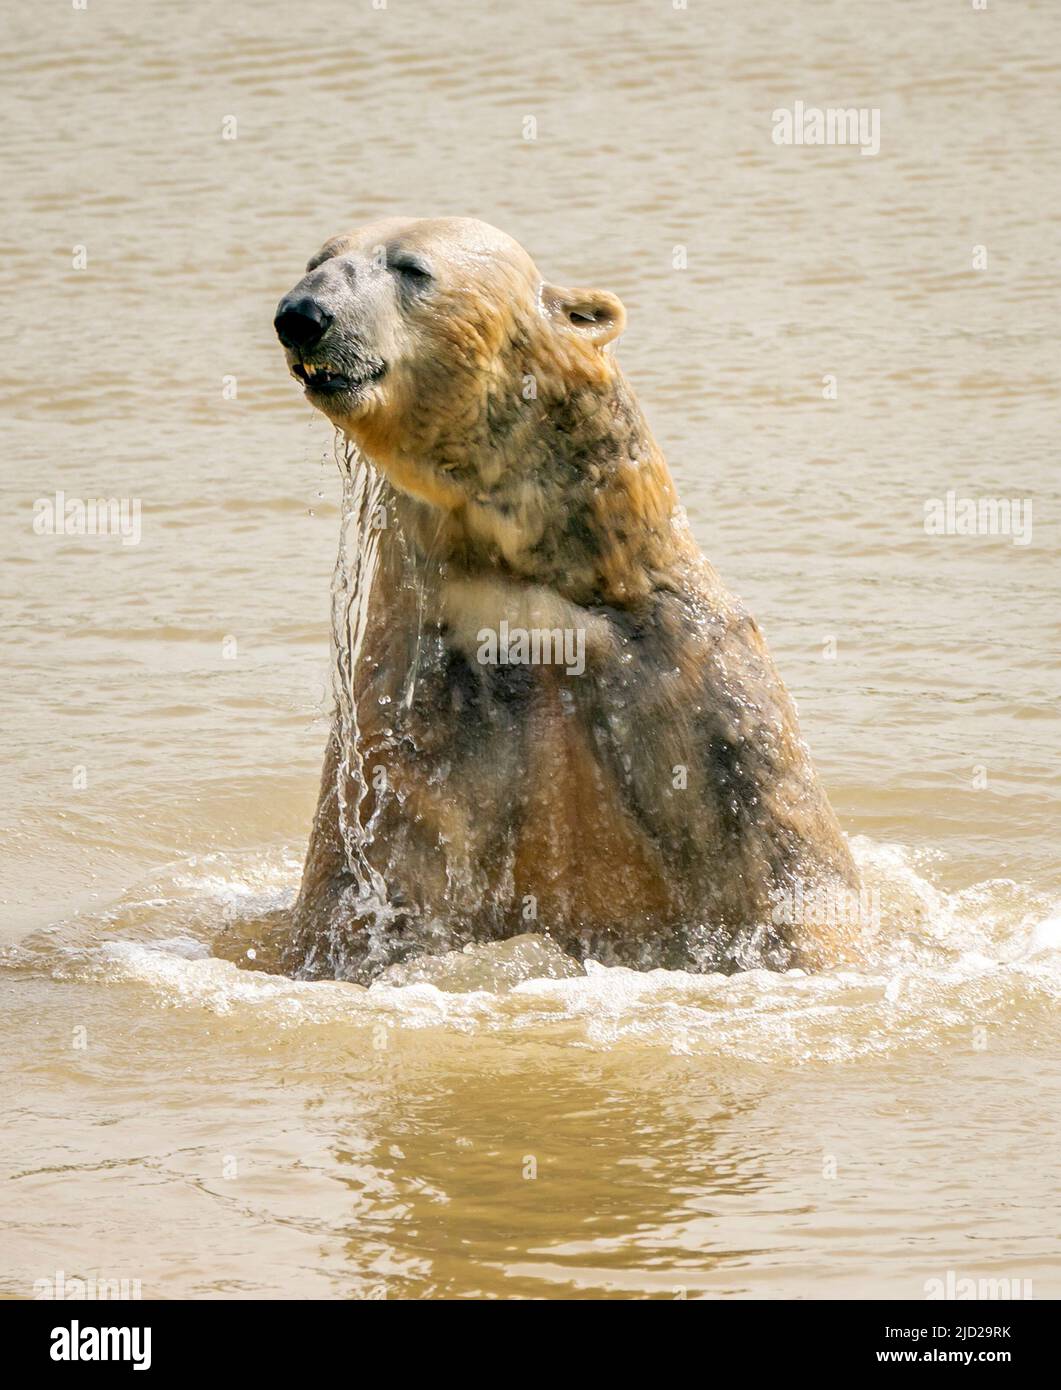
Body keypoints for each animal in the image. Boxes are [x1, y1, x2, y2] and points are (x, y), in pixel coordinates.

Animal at [273, 216, 859, 981]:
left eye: (411, 268)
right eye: (316, 260)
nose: (301, 315)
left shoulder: (694, 688)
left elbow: (787, 867)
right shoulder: (416, 706)